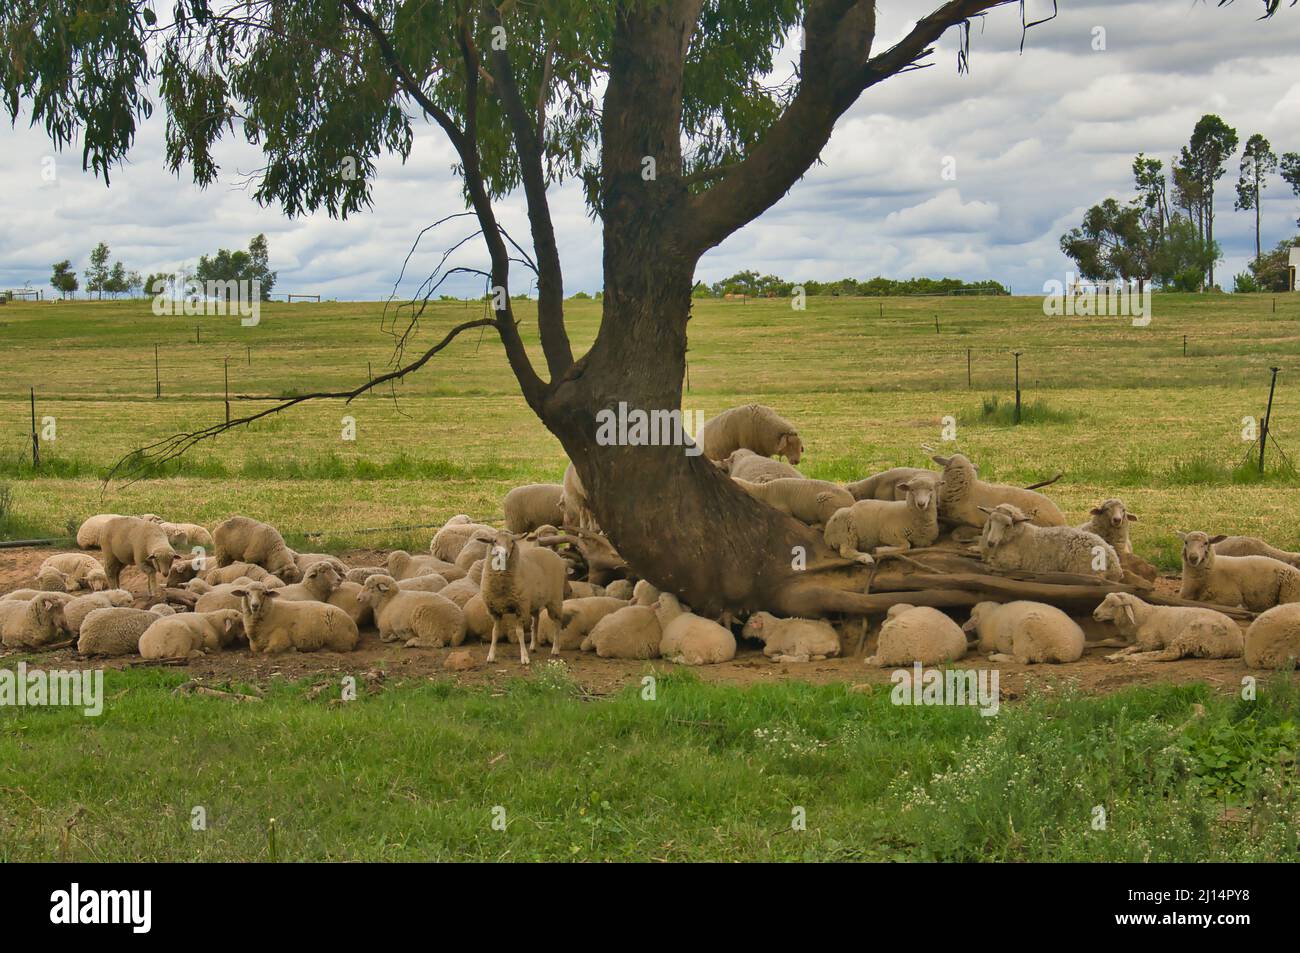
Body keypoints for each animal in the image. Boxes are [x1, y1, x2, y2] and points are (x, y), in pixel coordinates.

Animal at [477, 530, 566, 664]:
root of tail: (550, 551)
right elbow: (495, 632)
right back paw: (533, 646)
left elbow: (519, 632)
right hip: (534, 602)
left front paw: (524, 657)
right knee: (535, 622)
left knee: (557, 622)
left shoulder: (521, 607)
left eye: (512, 541)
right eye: (494, 541)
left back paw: (556, 649)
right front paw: (491, 656)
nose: (504, 553)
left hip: (555, 599)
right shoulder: (495, 611)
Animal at [978, 503, 1123, 580]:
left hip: (1085, 570)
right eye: (991, 520)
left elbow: (994, 563)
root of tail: (1114, 562)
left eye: (1007, 525)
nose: (990, 542)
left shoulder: (1010, 562)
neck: (1017, 535)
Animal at [1093, 592, 1242, 662]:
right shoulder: (1132, 639)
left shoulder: (1151, 642)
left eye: (1112, 605)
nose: (1094, 614)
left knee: (1169, 653)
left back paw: (1128, 659)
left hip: (1191, 632)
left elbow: (1130, 648)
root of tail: (1236, 645)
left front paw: (1115, 656)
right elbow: (1109, 641)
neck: (1145, 616)